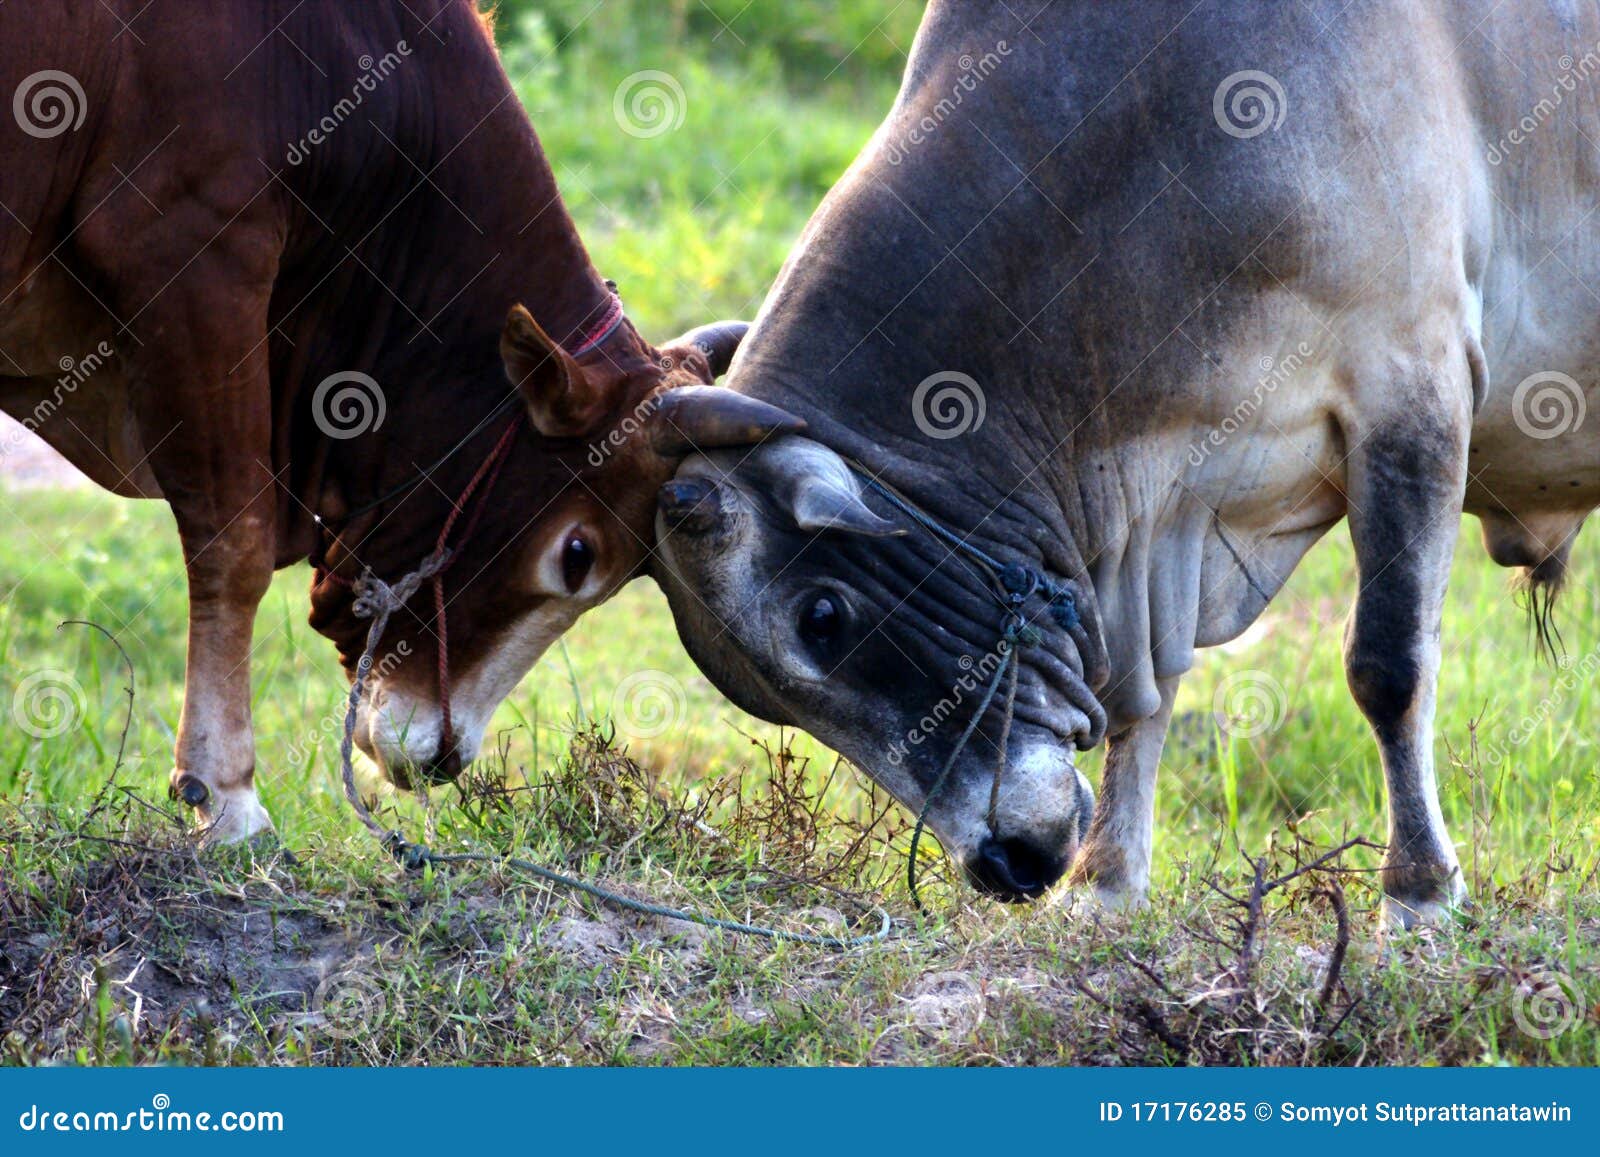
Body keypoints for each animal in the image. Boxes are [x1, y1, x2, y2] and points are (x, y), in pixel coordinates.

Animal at [649, 0, 1600, 928]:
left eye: (822, 615)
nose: (1006, 861)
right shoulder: (1166, 513)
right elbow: (1145, 697)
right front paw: (1106, 881)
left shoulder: (1411, 385)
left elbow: (1388, 665)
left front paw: (1419, 888)